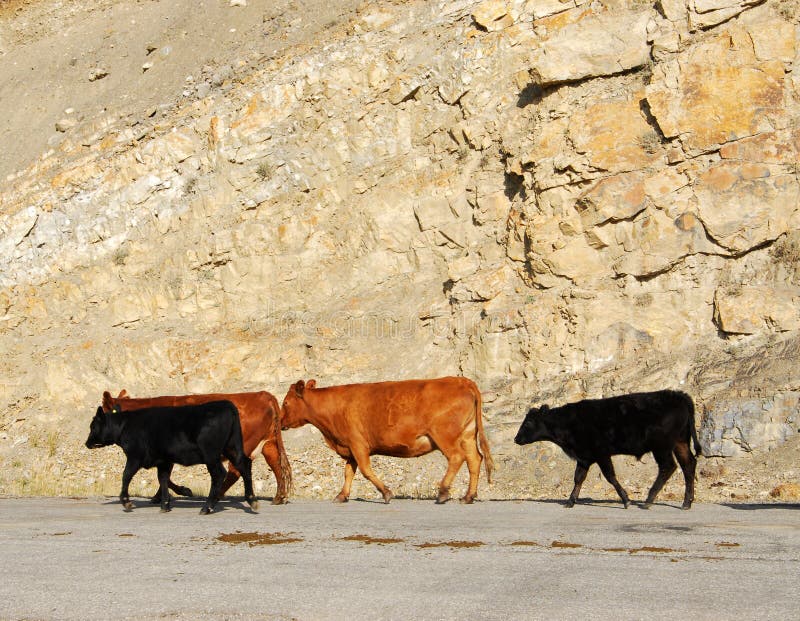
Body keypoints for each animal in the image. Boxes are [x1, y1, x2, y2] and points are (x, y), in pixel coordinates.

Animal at [85, 400, 259, 514]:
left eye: (93, 426)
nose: (87, 443)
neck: (126, 425)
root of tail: (226, 404)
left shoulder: (135, 457)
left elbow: (126, 476)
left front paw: (126, 501)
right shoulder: (164, 460)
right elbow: (163, 479)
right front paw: (166, 504)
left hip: (211, 454)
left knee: (219, 474)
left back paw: (207, 507)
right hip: (232, 447)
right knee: (244, 465)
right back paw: (251, 500)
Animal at [102, 389, 292, 505]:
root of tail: (264, 395)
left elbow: (164, 476)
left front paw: (180, 492)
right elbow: (164, 476)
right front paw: (161, 496)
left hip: (242, 445)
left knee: (236, 470)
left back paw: (217, 496)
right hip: (268, 444)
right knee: (276, 465)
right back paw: (279, 497)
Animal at [280, 377, 494, 504]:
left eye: (286, 402)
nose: (280, 422)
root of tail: (461, 380)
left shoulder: (358, 444)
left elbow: (365, 471)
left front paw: (386, 493)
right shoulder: (349, 448)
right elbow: (348, 473)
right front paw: (342, 495)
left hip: (444, 435)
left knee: (457, 458)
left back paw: (443, 492)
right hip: (467, 434)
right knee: (474, 459)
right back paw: (468, 496)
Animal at [514, 390, 701, 510]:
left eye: (528, 422)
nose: (516, 439)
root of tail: (680, 395)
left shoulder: (601, 453)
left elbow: (610, 476)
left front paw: (626, 500)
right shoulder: (584, 457)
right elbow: (578, 478)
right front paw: (570, 501)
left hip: (661, 446)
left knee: (668, 467)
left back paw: (649, 500)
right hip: (680, 442)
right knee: (688, 465)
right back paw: (687, 502)